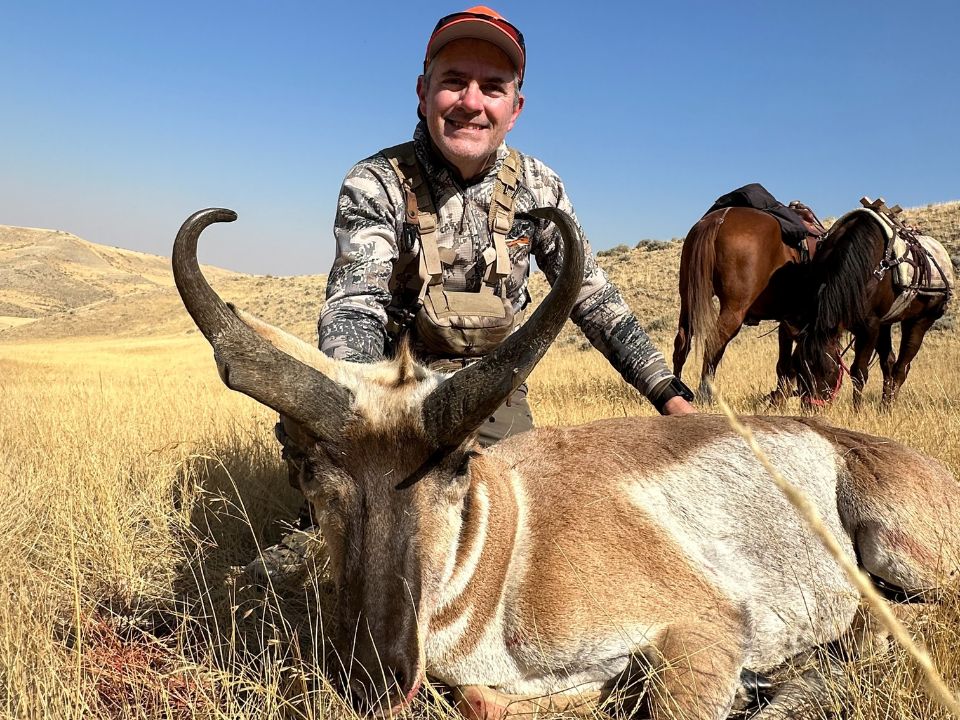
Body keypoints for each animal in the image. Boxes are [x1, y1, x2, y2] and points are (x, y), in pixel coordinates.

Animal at [174, 206, 960, 720]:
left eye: (458, 464)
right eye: (310, 469)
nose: (376, 673)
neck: (509, 541)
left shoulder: (700, 633)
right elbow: (489, 700)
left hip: (894, 546)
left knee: (911, 620)